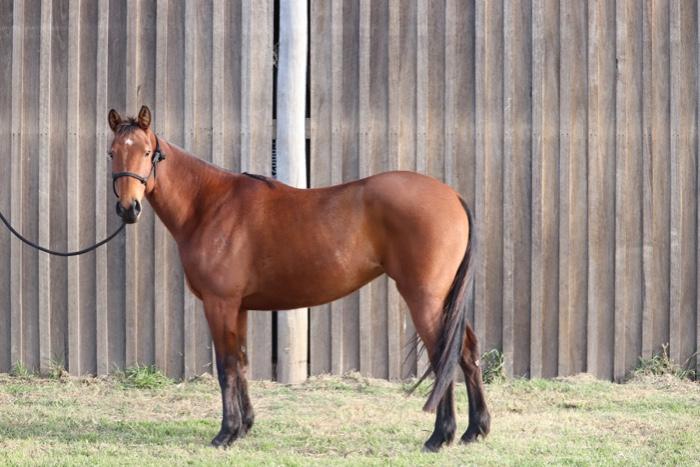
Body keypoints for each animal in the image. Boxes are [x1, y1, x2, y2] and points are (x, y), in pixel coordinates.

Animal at [107, 105, 490, 452]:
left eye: (146, 152)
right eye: (112, 152)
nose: (128, 209)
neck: (209, 205)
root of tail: (452, 195)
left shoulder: (220, 304)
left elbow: (226, 365)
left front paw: (225, 433)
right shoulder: (238, 308)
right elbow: (241, 362)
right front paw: (244, 426)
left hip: (424, 298)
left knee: (444, 354)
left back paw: (440, 436)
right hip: (443, 299)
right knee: (467, 351)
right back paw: (475, 430)